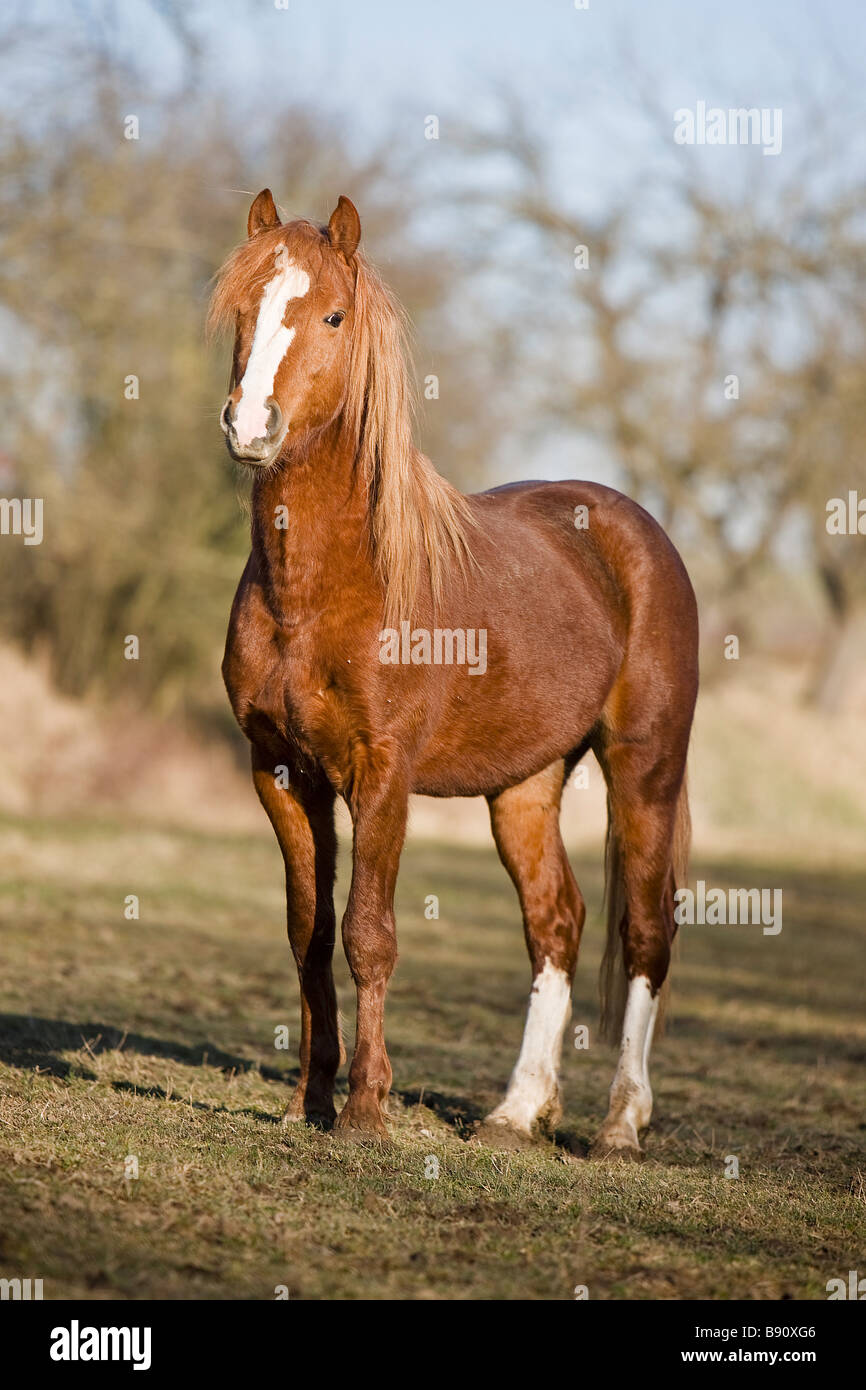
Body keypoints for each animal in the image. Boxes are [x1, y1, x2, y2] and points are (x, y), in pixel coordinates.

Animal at [209, 189, 698, 1160]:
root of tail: (634, 530)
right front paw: (308, 1102)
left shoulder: (382, 773)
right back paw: (516, 1113)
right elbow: (308, 935)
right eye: (244, 308)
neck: (320, 589)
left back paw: (620, 1124)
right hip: (525, 787)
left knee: (645, 930)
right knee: (556, 922)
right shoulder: (280, 774)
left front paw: (365, 1111)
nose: (251, 427)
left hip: (645, 771)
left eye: (333, 315)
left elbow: (368, 933)